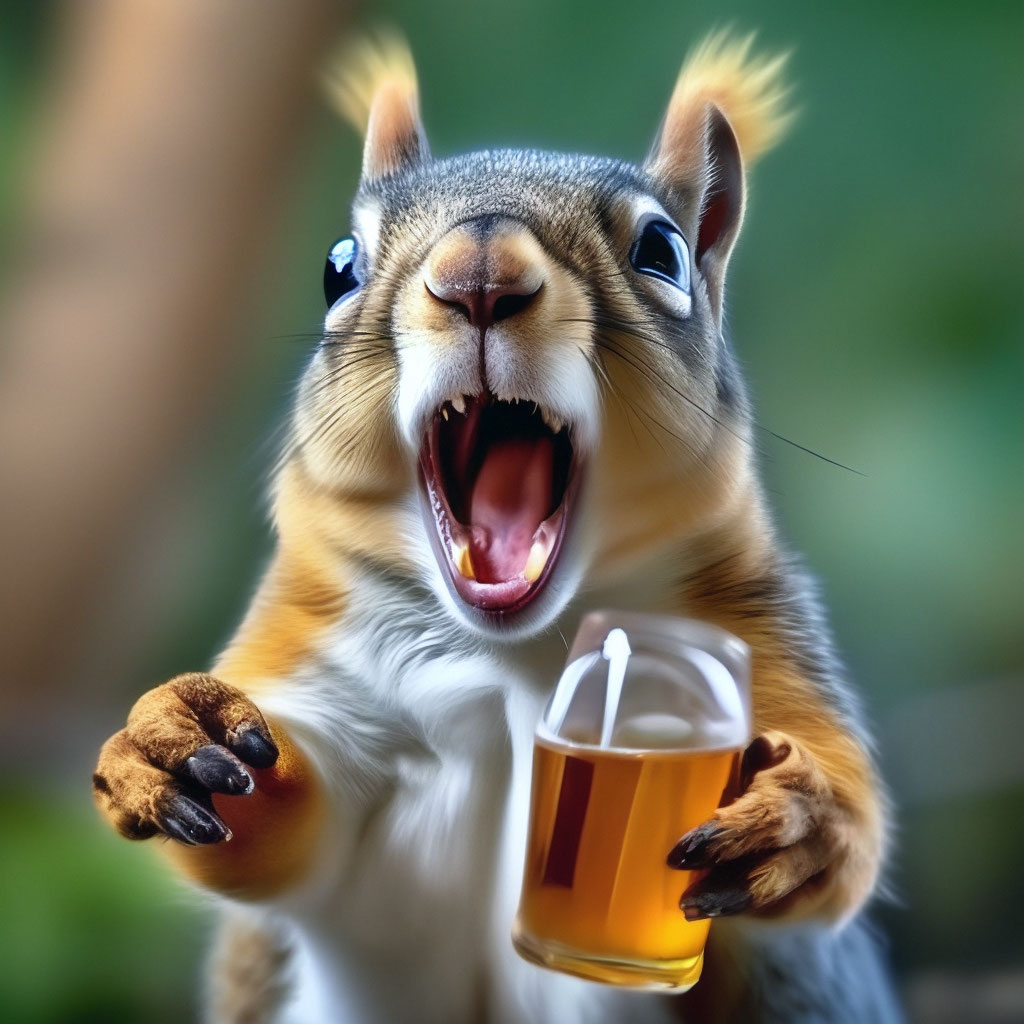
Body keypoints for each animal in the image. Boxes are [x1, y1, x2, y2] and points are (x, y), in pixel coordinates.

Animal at [92, 30, 902, 1024]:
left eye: (663, 251)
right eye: (338, 265)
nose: (479, 277)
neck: (509, 651)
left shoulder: (759, 640)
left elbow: (850, 840)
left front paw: (799, 813)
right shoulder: (314, 659)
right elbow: (278, 837)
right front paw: (169, 740)